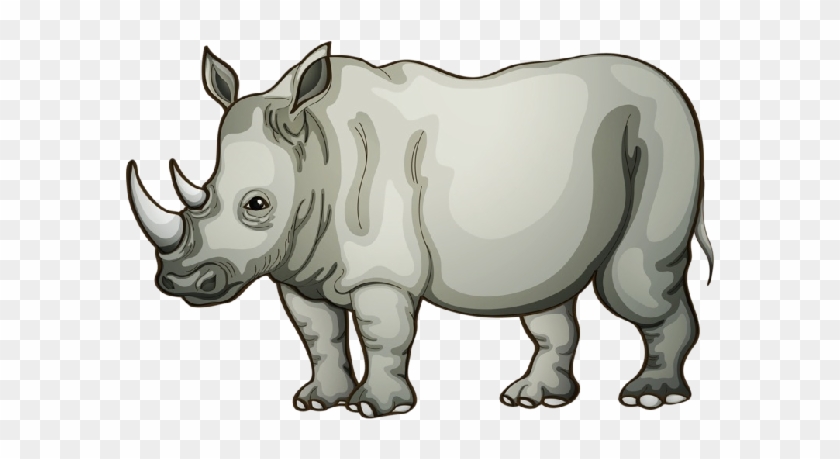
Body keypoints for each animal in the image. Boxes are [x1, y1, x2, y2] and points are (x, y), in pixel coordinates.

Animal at [126, 42, 714, 417]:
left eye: (256, 205)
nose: (179, 281)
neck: (315, 150)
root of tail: (673, 87)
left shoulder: (381, 269)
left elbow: (381, 332)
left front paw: (373, 410)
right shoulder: (296, 264)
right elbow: (319, 334)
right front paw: (316, 402)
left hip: (665, 130)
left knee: (633, 281)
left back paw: (650, 398)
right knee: (550, 290)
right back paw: (533, 399)